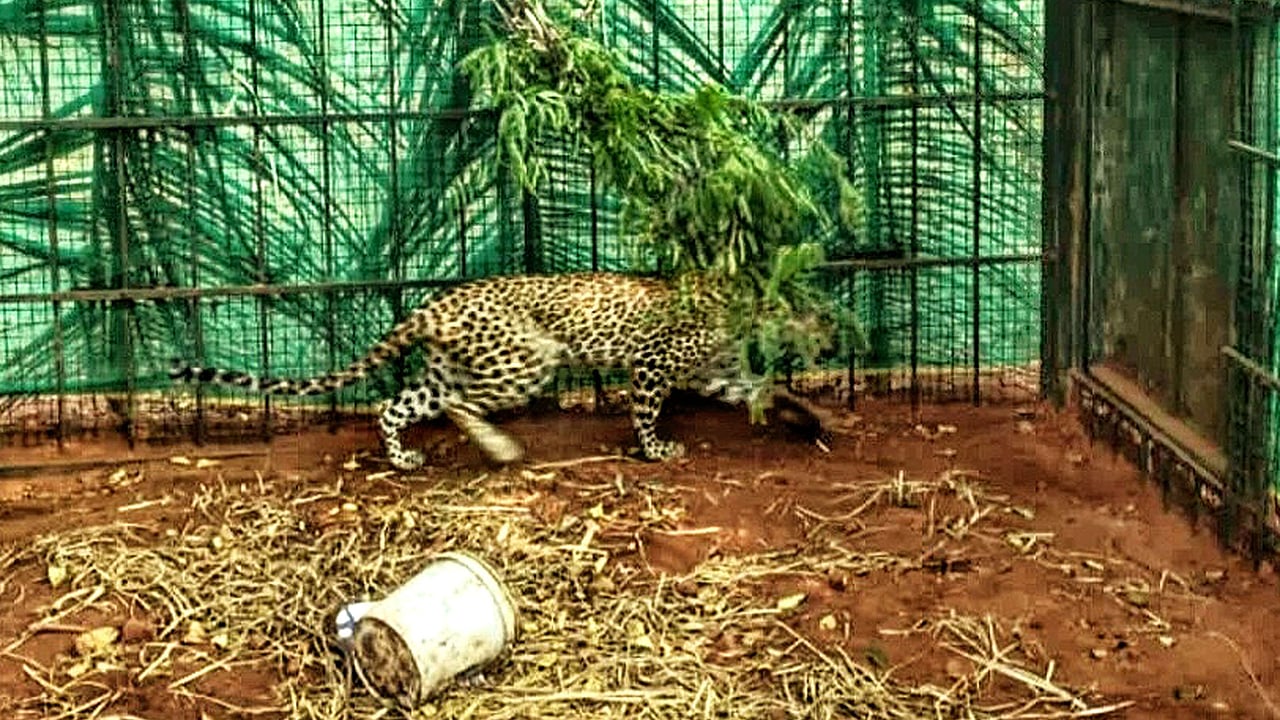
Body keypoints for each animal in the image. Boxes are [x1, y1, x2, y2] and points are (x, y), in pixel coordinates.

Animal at [169, 271, 821, 471]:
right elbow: (645, 414)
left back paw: (403, 459)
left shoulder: (714, 374)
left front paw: (808, 415)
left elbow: (758, 389)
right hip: (525, 360)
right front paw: (656, 450)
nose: (826, 327)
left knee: (394, 405)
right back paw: (501, 448)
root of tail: (436, 304)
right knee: (461, 406)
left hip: (448, 370)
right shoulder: (654, 363)